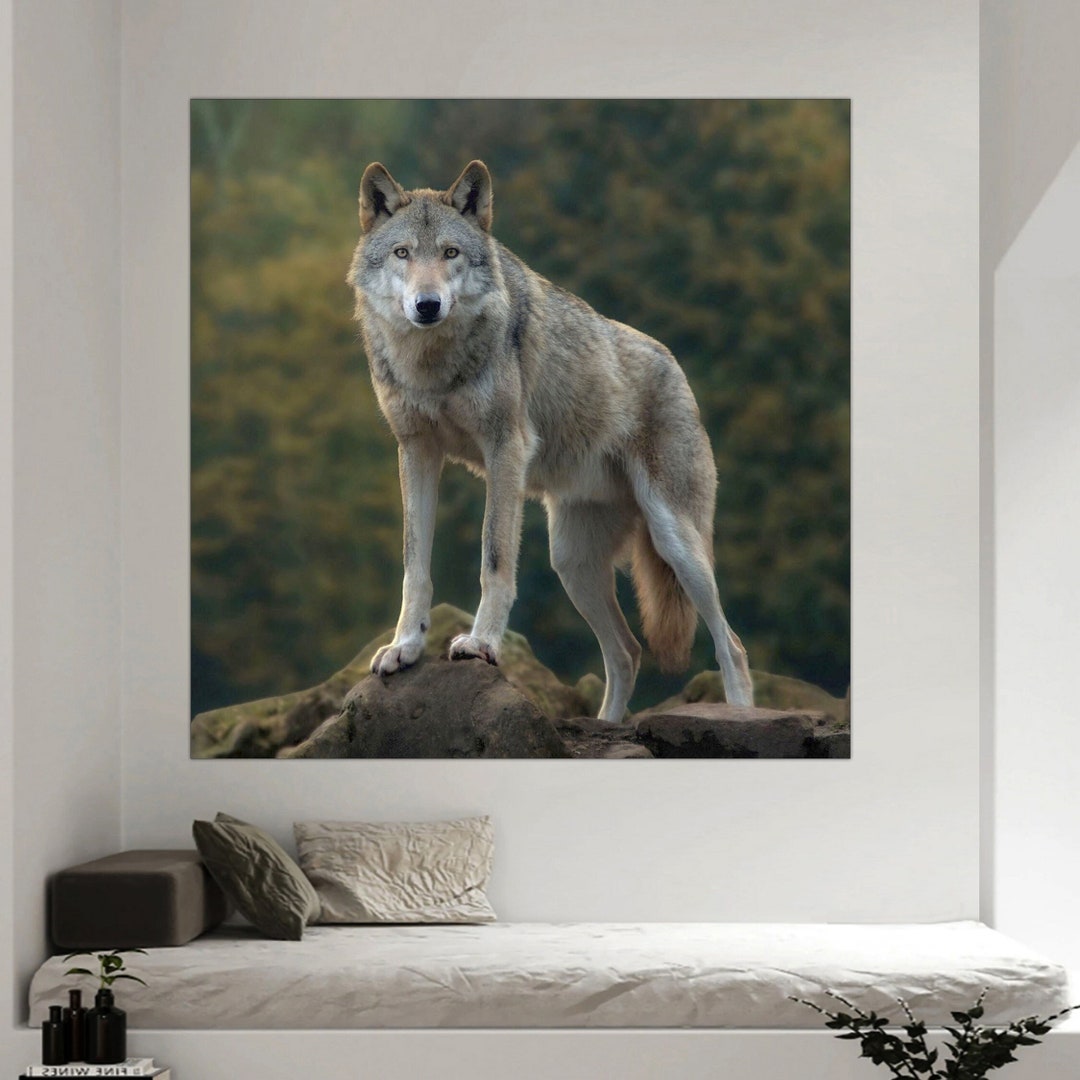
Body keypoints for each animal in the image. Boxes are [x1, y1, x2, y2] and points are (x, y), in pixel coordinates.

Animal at [346, 160, 754, 721]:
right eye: (402, 253)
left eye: (450, 253)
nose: (427, 305)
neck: (433, 364)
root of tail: (675, 367)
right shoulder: (416, 452)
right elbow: (416, 566)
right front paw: (405, 647)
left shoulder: (506, 450)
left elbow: (494, 558)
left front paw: (481, 643)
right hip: (571, 561)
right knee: (627, 652)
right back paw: (606, 724)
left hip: (675, 542)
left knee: (730, 644)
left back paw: (742, 715)